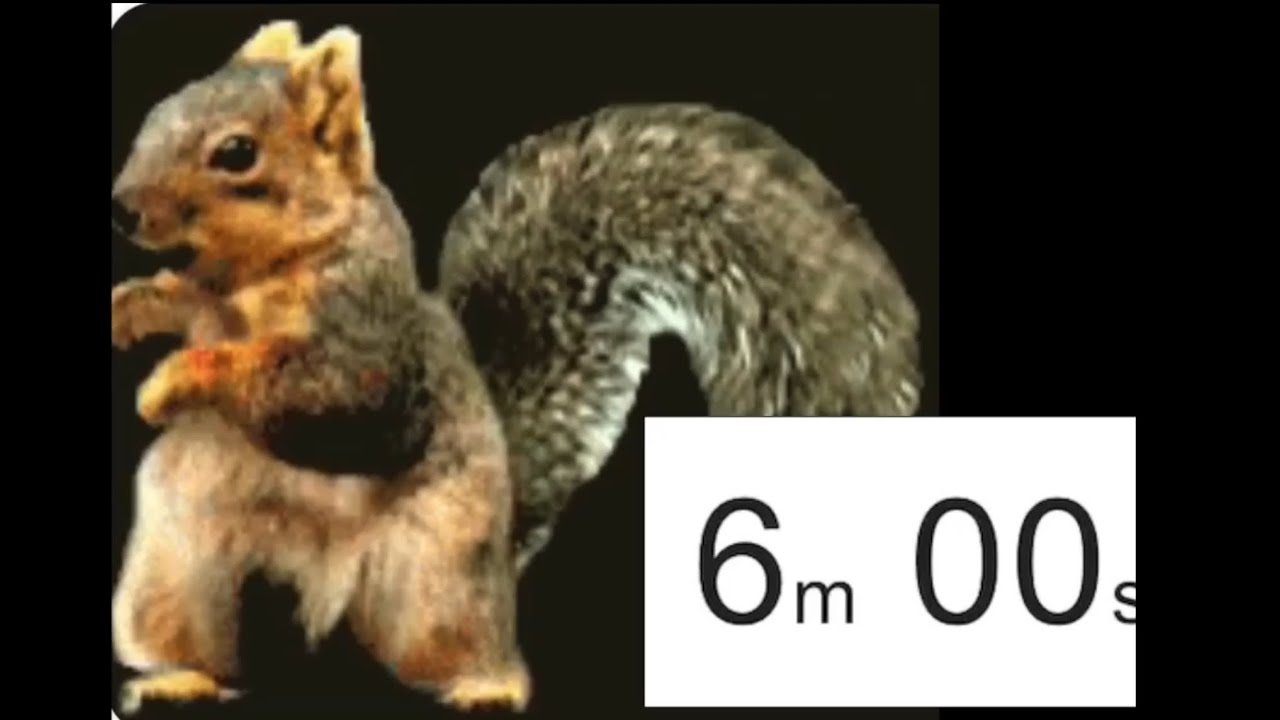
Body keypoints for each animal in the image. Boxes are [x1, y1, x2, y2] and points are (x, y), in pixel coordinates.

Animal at [110, 20, 922, 716]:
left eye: (237, 153)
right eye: (162, 106)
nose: (120, 208)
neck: (252, 280)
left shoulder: (373, 343)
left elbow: (327, 394)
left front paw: (172, 381)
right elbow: (177, 299)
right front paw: (132, 308)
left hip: (436, 583)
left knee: (465, 647)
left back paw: (488, 687)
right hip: (180, 565)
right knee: (201, 640)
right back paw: (178, 678)